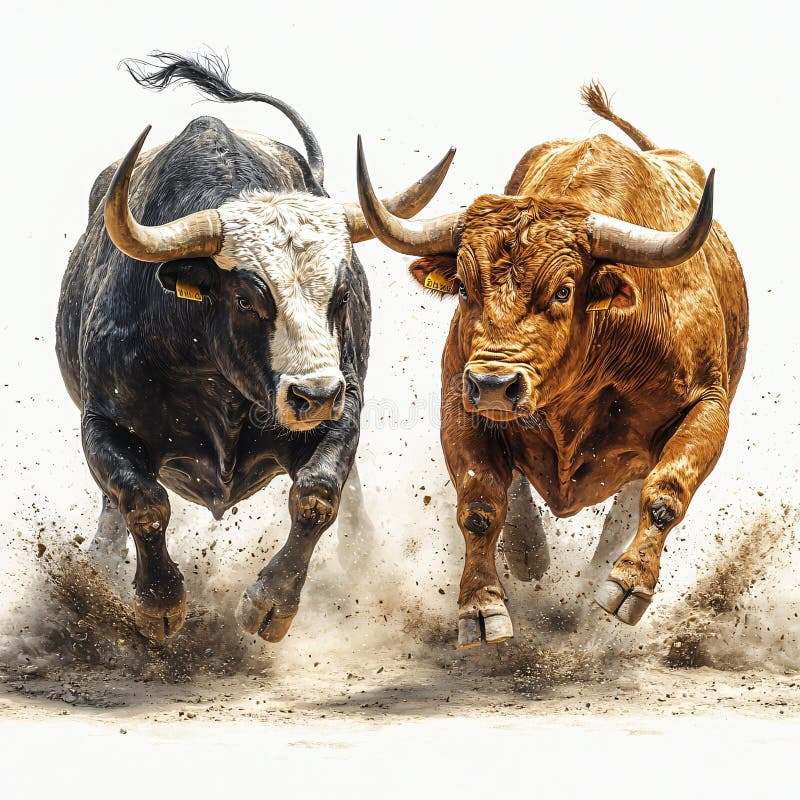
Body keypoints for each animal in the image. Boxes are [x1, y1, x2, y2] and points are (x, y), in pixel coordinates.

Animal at [56, 52, 455, 644]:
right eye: (247, 298)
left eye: (341, 293)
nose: (315, 394)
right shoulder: (102, 423)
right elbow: (142, 501)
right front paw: (159, 603)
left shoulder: (345, 411)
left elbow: (318, 494)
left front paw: (270, 604)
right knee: (114, 505)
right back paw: (102, 565)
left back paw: (362, 556)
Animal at [355, 82, 748, 647]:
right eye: (463, 287)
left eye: (563, 290)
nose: (494, 384)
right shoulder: (458, 401)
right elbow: (480, 503)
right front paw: (481, 606)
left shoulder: (709, 405)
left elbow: (665, 493)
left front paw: (627, 585)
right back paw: (528, 553)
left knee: (625, 509)